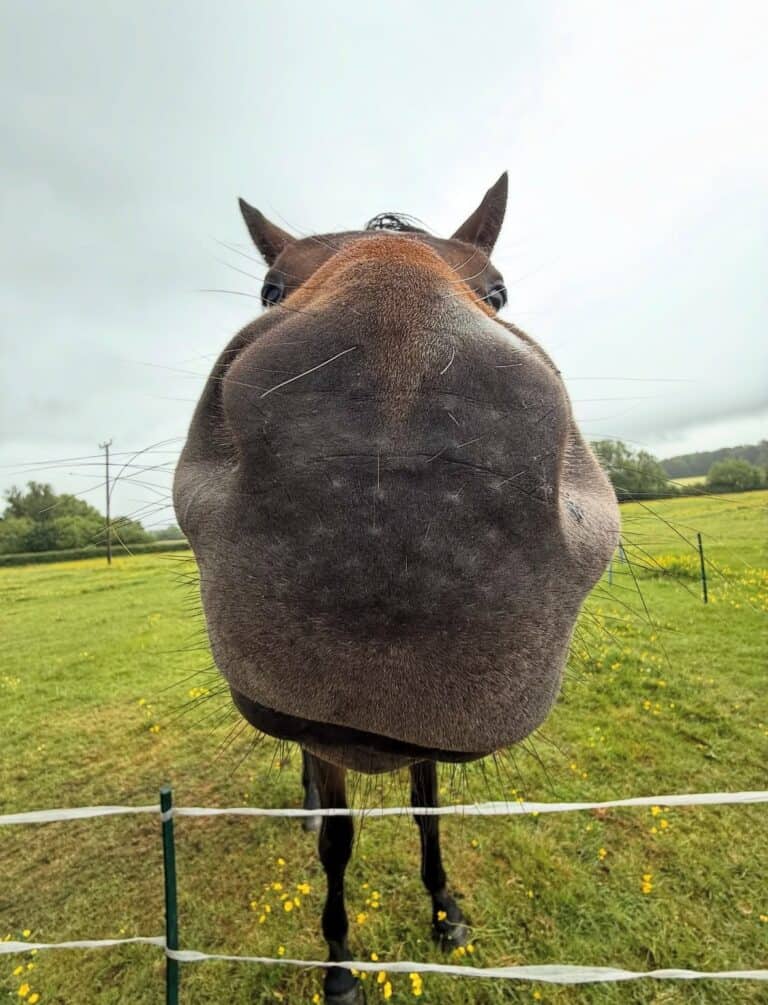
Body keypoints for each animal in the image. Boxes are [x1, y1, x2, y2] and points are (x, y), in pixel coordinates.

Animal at [173, 173, 620, 1003]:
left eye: (499, 290)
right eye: (269, 286)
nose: (390, 453)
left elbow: (428, 811)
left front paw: (444, 907)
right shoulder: (326, 737)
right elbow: (341, 841)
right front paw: (340, 965)